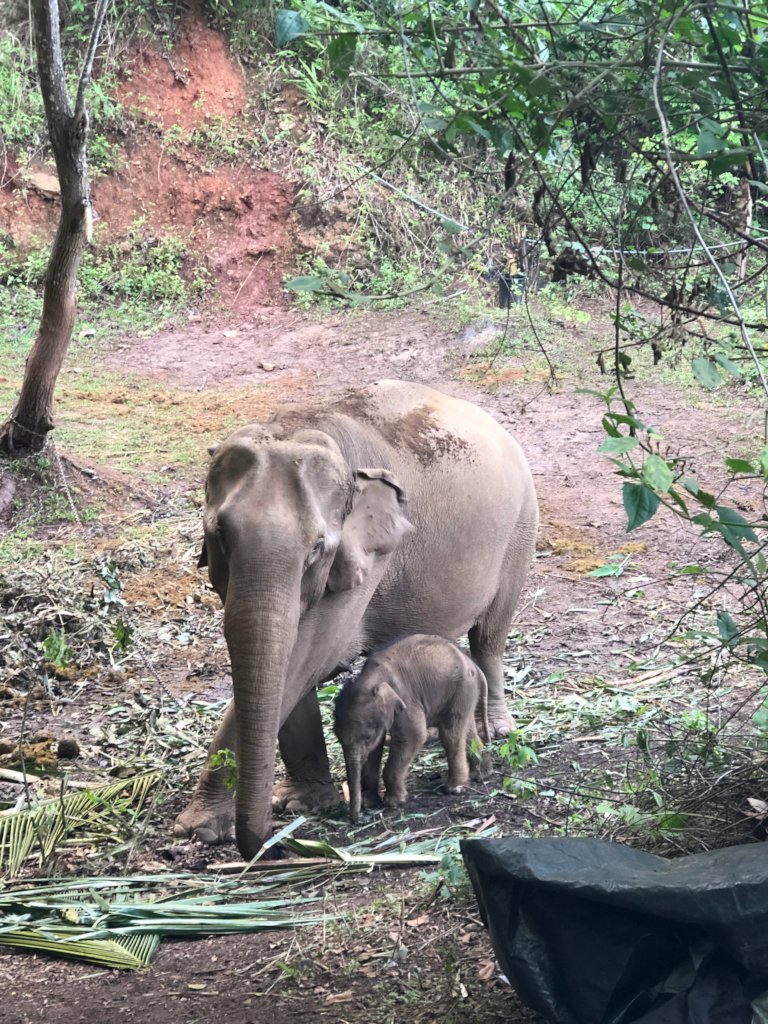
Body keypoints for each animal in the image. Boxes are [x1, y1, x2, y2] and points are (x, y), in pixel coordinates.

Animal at [334, 633, 491, 822]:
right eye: (337, 737)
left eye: (368, 736)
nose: (355, 820)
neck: (370, 678)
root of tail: (474, 665)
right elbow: (375, 749)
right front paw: (369, 803)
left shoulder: (406, 700)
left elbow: (414, 736)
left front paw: (393, 802)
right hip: (465, 693)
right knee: (466, 729)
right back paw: (480, 774)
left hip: (462, 689)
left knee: (450, 733)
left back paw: (455, 788)